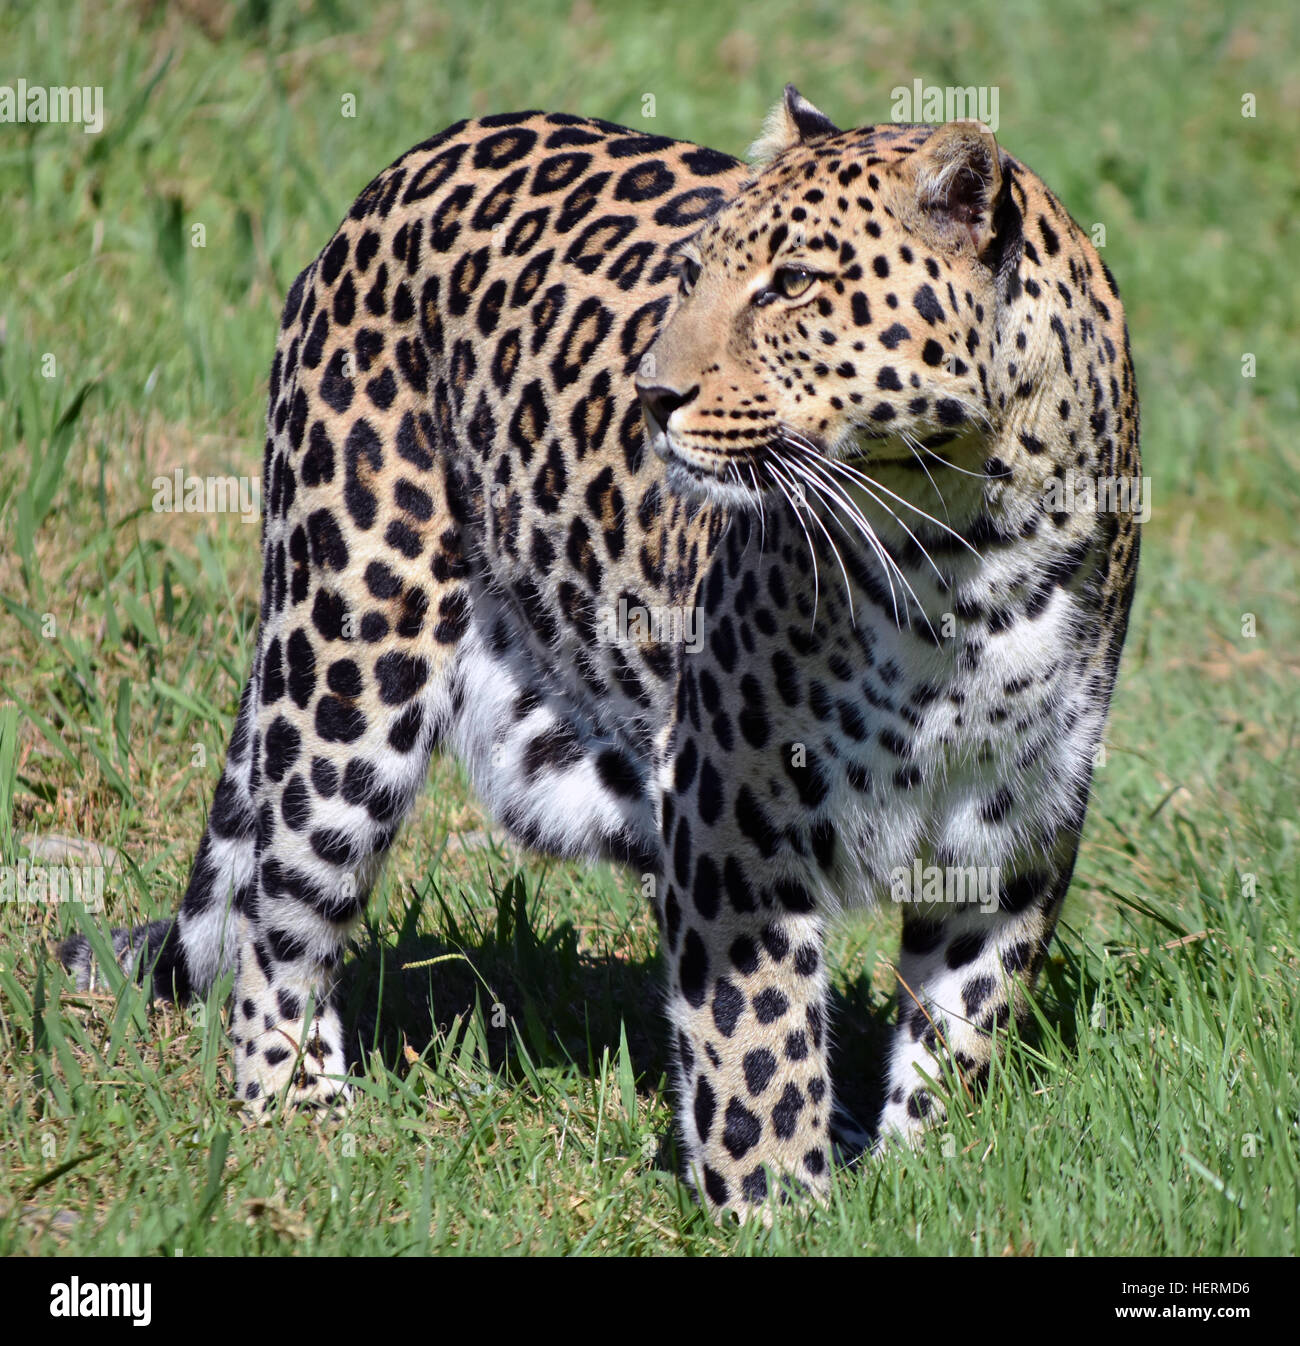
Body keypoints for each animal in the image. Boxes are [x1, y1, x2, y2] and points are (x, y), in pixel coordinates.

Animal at [60, 85, 1140, 1217]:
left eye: (795, 285)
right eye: (697, 273)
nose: (652, 396)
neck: (961, 551)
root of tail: (386, 183)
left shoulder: (1013, 827)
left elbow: (962, 1021)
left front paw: (920, 1170)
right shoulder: (733, 808)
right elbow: (754, 1035)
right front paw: (775, 1205)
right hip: (351, 649)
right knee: (280, 903)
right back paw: (299, 1116)